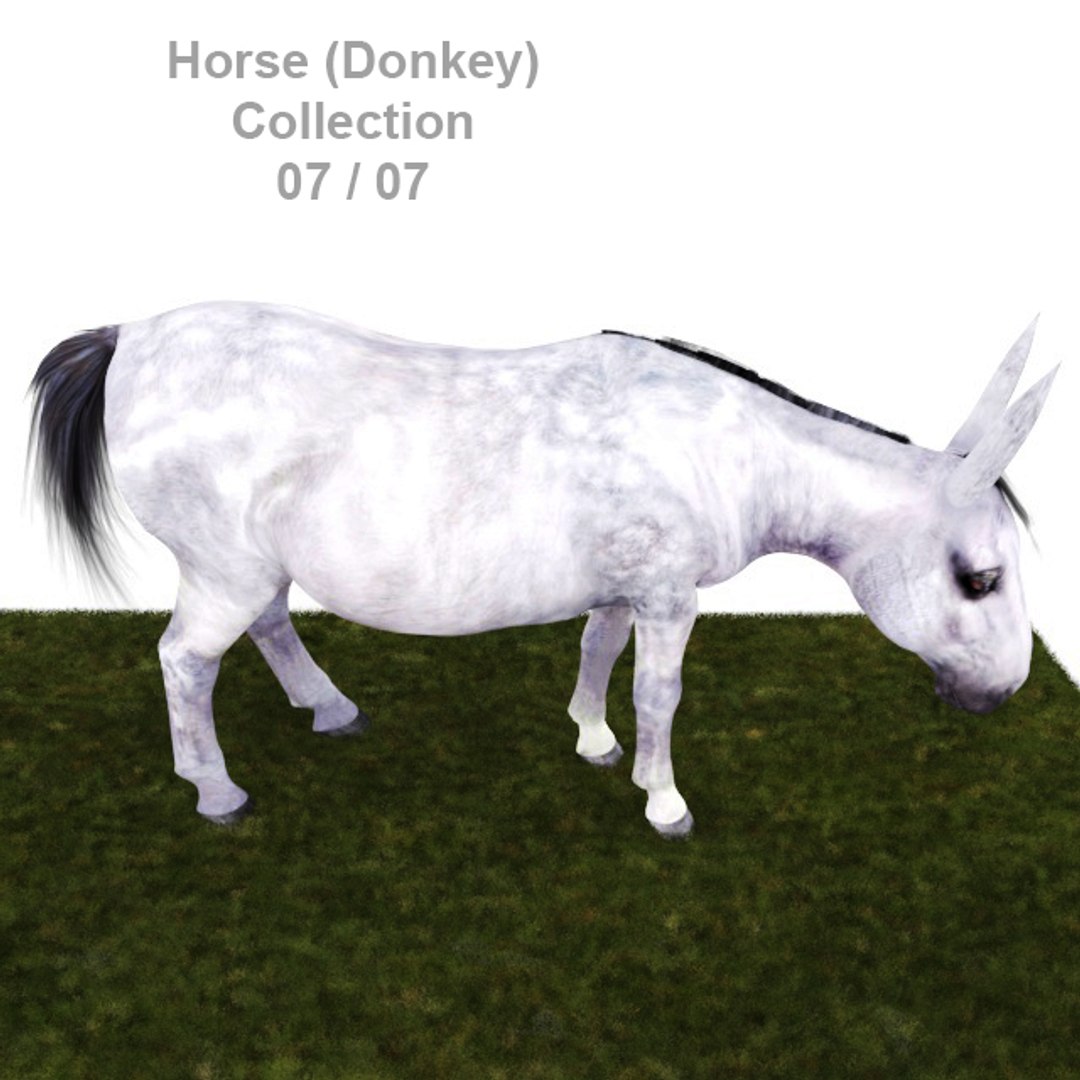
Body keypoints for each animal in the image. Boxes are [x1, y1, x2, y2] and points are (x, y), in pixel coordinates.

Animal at [28, 302, 1057, 836]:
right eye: (979, 579)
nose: (1003, 693)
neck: (727, 452)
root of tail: (132, 335)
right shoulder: (670, 596)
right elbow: (659, 695)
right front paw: (664, 800)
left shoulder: (627, 585)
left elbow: (597, 654)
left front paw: (593, 742)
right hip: (222, 568)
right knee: (185, 662)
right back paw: (216, 791)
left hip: (253, 565)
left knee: (270, 625)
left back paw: (329, 708)